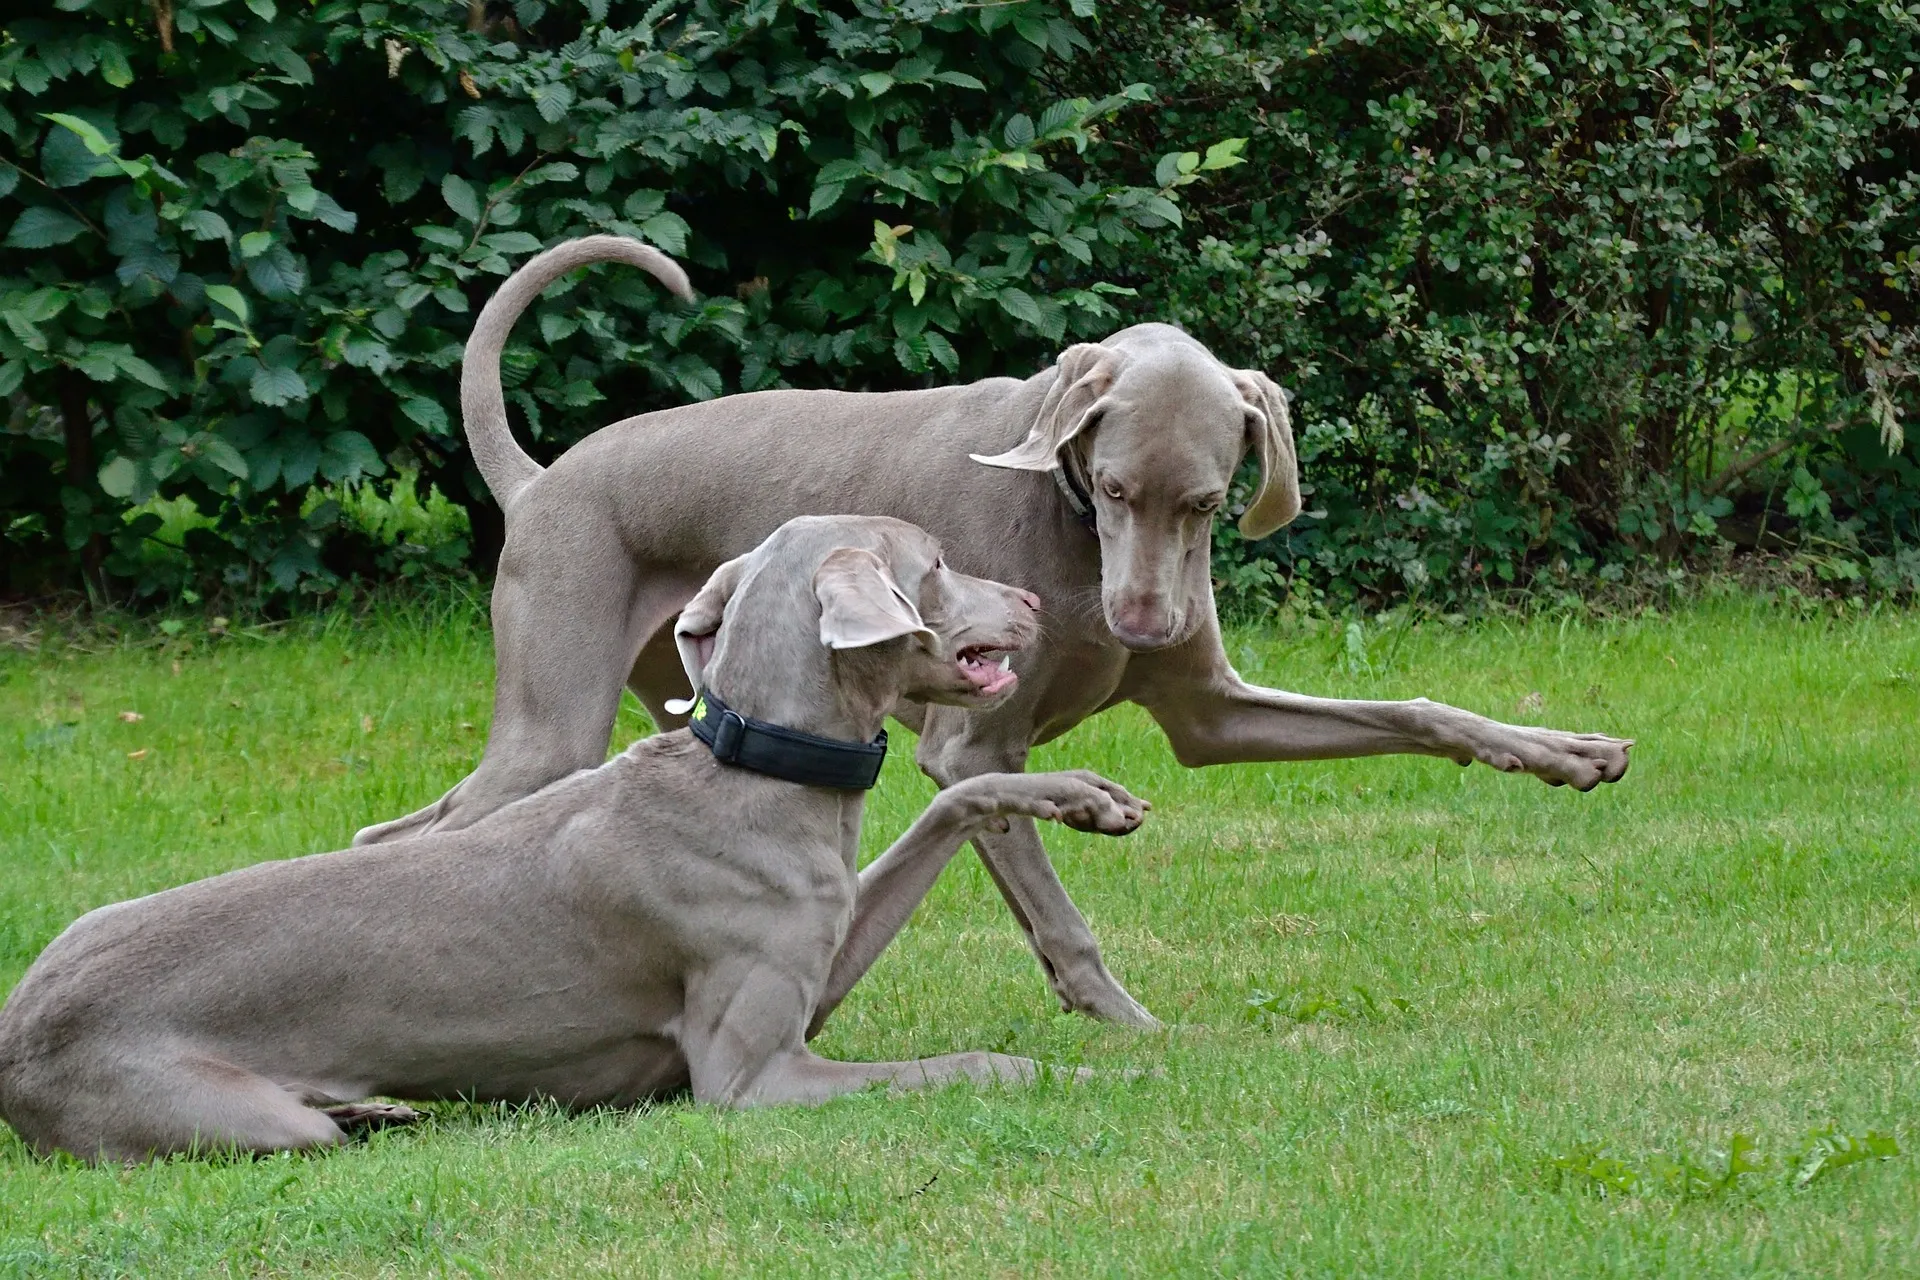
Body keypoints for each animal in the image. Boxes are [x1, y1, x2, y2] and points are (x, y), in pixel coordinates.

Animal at [0, 514, 1136, 1166]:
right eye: (938, 562)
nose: (1033, 596)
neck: (756, 769)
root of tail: (14, 1033)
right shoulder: (752, 1079)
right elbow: (979, 1063)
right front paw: (1088, 1081)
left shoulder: (824, 962)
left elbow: (959, 796)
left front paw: (1084, 795)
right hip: (233, 1115)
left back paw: (383, 1112)